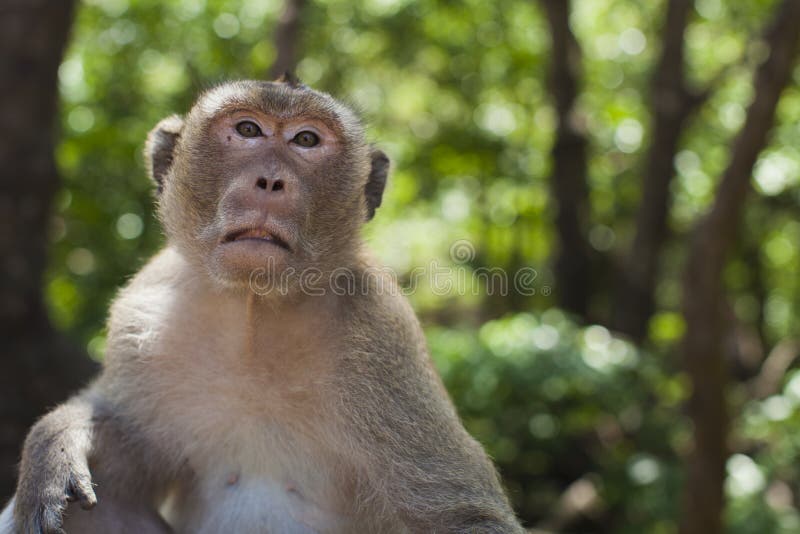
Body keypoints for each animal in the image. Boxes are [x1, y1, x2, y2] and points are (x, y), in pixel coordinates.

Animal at [1, 77, 524, 534]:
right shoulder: (143, 313)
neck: (255, 312)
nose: (270, 181)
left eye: (306, 139)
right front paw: (56, 440)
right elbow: (123, 443)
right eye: (249, 130)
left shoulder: (385, 342)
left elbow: (463, 515)